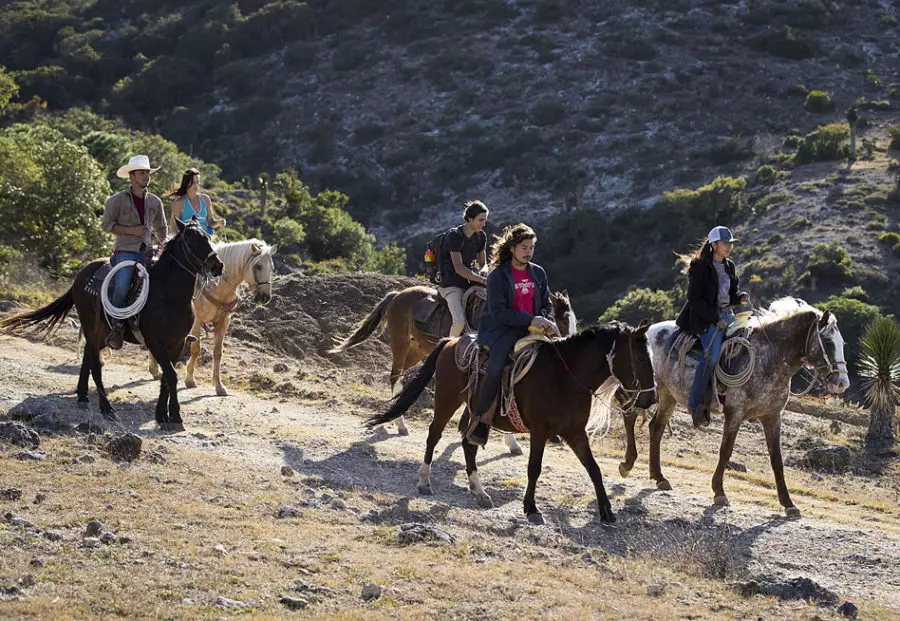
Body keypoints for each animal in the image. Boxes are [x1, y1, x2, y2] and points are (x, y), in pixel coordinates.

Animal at [0, 219, 223, 432]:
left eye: (207, 237)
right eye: (192, 240)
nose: (217, 266)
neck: (170, 296)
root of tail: (82, 274)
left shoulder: (177, 343)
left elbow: (167, 378)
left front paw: (162, 416)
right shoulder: (155, 342)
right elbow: (171, 375)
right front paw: (175, 417)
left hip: (99, 334)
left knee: (88, 357)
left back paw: (83, 396)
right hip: (92, 327)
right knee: (95, 365)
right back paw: (107, 409)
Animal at [149, 237, 276, 392]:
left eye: (272, 267)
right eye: (258, 266)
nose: (265, 297)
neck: (216, 285)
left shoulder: (223, 323)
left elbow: (217, 353)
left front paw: (218, 385)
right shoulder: (197, 321)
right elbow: (196, 349)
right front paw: (190, 379)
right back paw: (154, 368)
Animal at [330, 284, 576, 438]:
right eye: (563, 319)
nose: (566, 343)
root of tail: (397, 295)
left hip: (417, 351)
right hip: (400, 344)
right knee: (395, 377)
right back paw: (400, 424)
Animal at [366, 322, 652, 524]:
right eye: (639, 358)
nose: (649, 398)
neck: (564, 378)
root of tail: (451, 342)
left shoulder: (576, 433)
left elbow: (593, 469)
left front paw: (606, 511)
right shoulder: (539, 431)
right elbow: (534, 468)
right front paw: (532, 509)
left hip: (474, 410)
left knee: (468, 442)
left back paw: (479, 492)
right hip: (447, 400)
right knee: (433, 435)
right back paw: (425, 482)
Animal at [620, 298, 852, 516]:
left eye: (842, 343)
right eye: (828, 342)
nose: (842, 383)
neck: (769, 358)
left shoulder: (772, 417)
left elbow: (776, 460)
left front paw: (788, 503)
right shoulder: (735, 413)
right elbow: (726, 451)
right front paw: (719, 492)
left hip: (669, 396)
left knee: (656, 428)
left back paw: (659, 477)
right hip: (645, 391)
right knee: (630, 415)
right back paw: (627, 464)